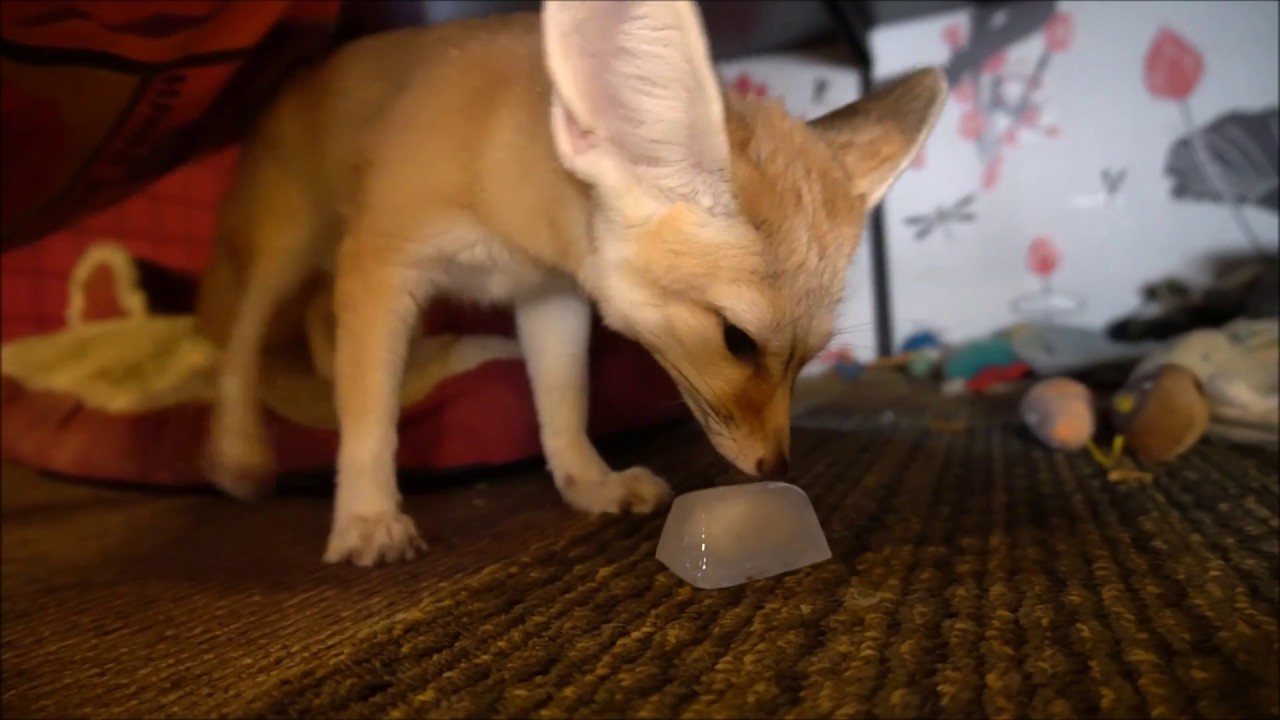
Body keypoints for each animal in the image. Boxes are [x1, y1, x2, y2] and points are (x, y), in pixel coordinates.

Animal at [193, 0, 946, 567]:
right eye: (737, 340)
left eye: (810, 358)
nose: (776, 467)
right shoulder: (385, 263)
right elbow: (371, 417)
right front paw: (367, 514)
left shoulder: (548, 294)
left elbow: (564, 403)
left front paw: (589, 482)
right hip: (288, 251)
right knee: (238, 346)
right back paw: (237, 452)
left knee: (315, 322)